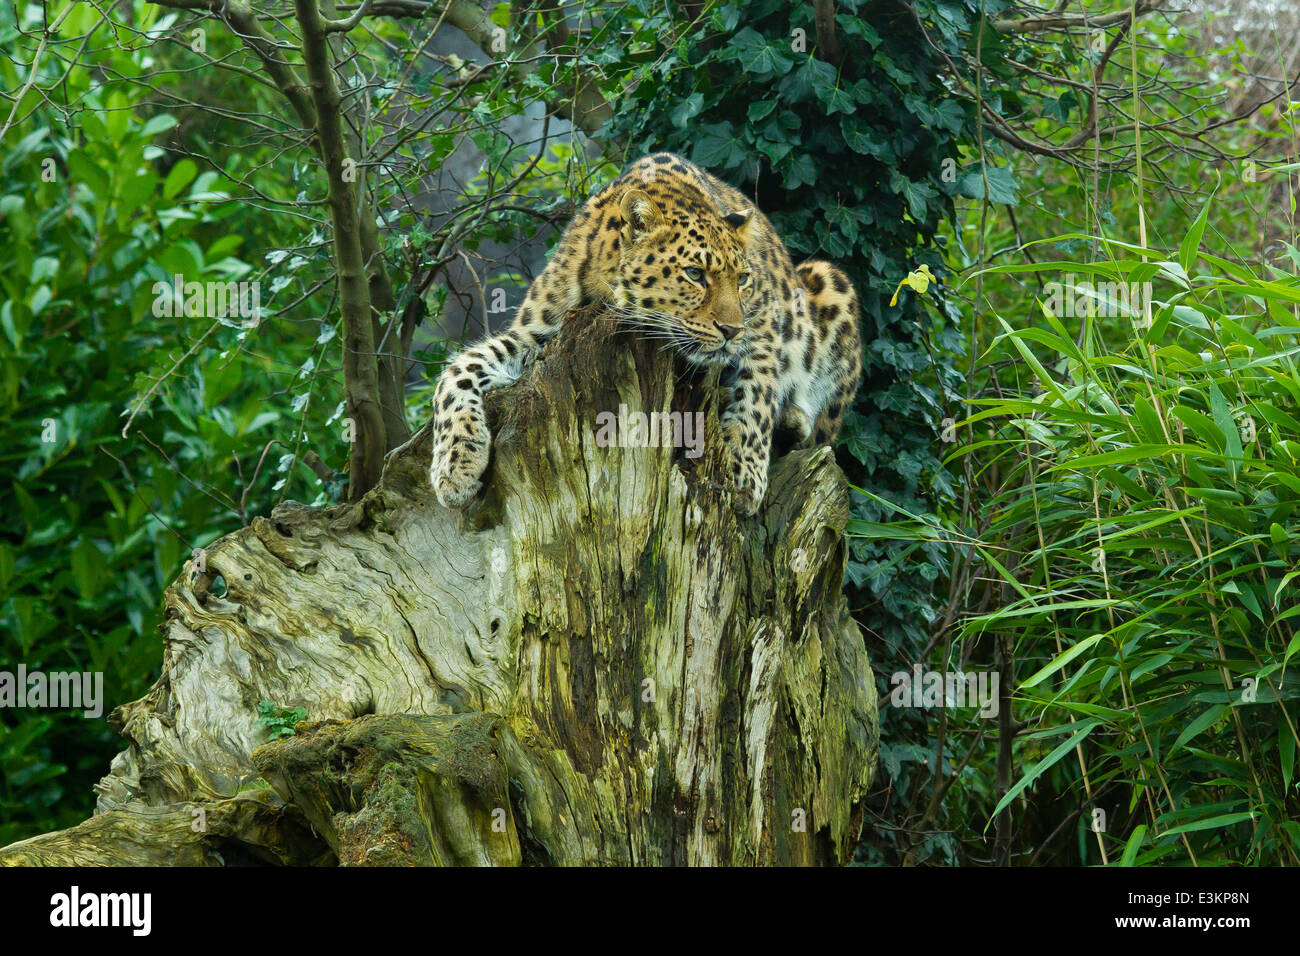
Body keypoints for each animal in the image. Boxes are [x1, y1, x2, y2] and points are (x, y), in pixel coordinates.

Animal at [428, 151, 862, 516]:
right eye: (694, 274)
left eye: (742, 280)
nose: (731, 329)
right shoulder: (534, 335)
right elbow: (456, 372)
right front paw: (454, 468)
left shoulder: (765, 322)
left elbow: (757, 394)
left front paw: (743, 477)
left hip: (829, 281)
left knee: (819, 431)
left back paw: (791, 420)